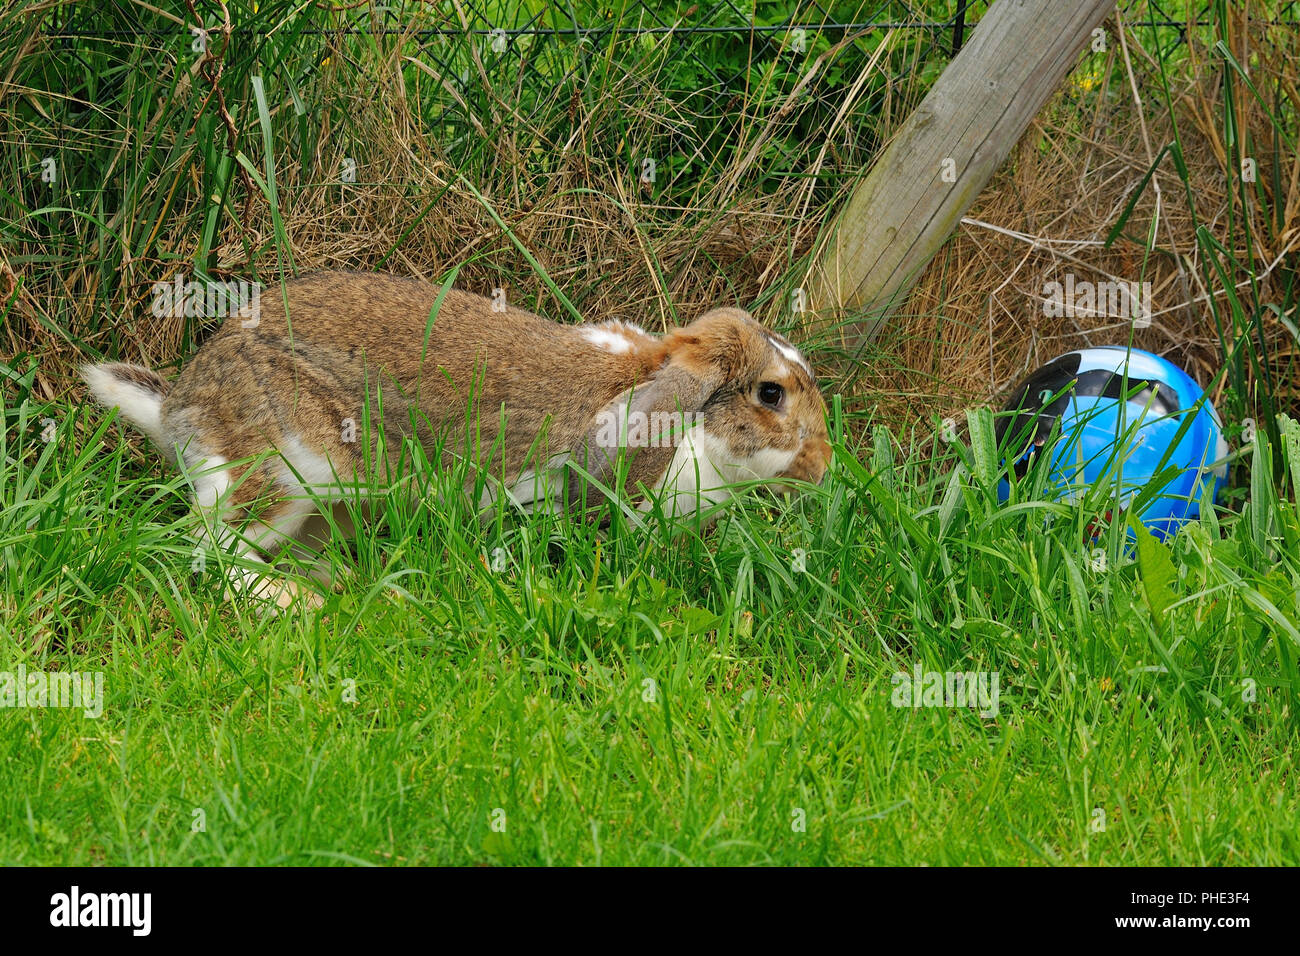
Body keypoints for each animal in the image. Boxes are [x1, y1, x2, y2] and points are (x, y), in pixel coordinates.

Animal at [81, 271, 832, 610]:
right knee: (208, 551)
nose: (824, 464)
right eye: (771, 394)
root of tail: (179, 407)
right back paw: (300, 601)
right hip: (288, 473)